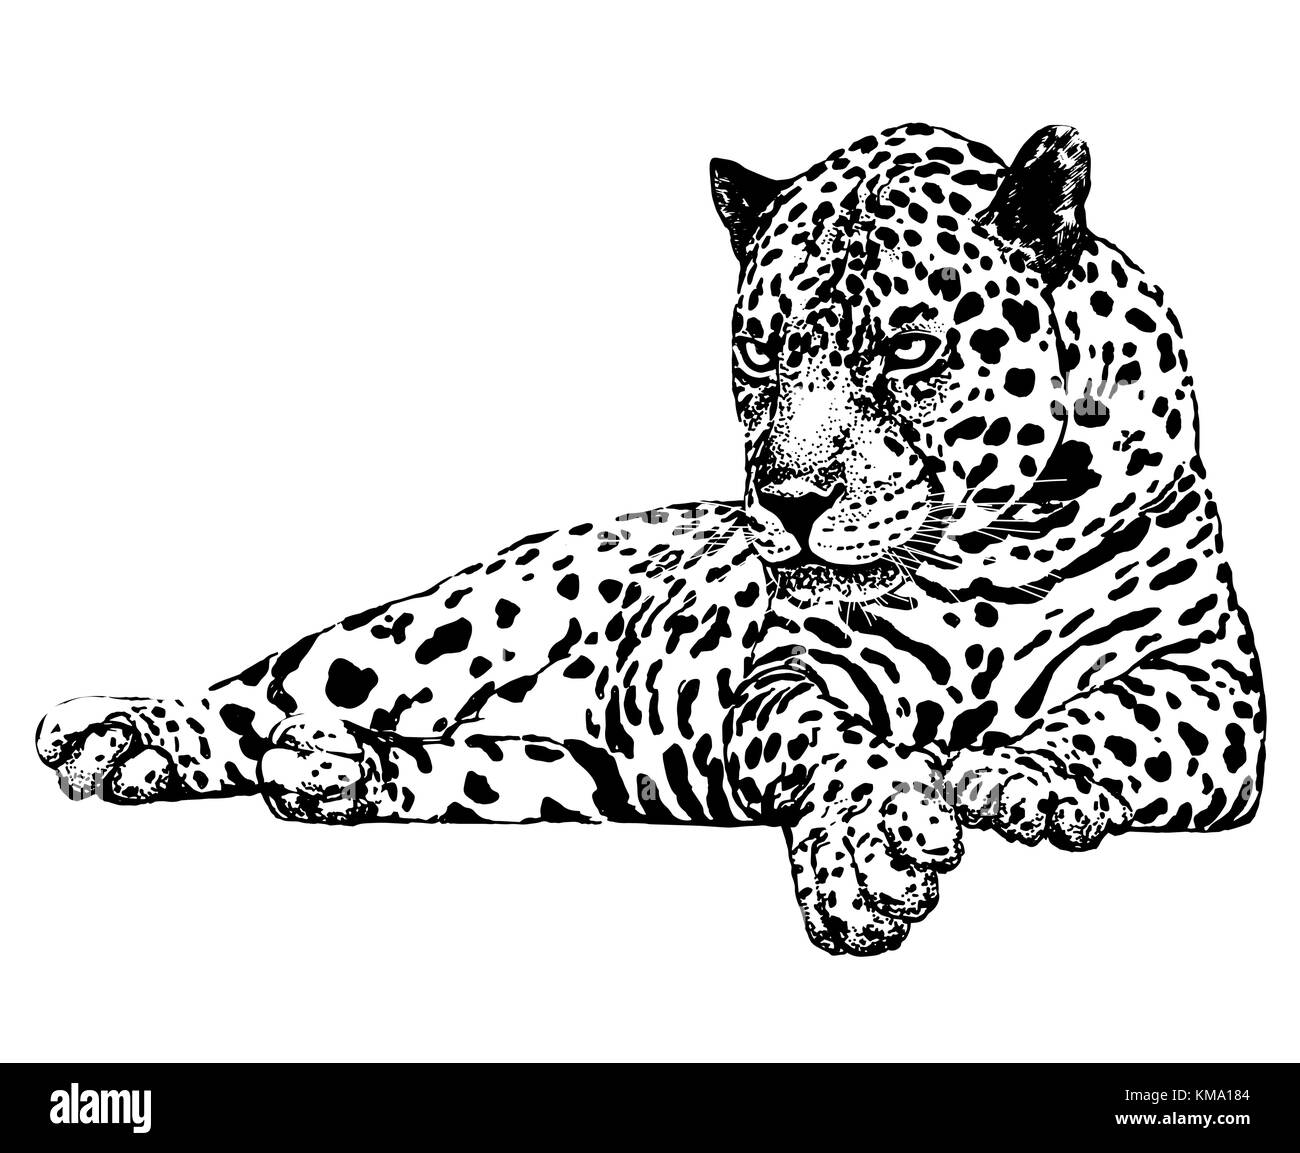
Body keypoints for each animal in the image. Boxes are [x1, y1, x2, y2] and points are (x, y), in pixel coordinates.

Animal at [36, 123, 1266, 956]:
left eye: (908, 349)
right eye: (760, 350)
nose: (787, 500)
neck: (982, 559)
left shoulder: (1213, 685)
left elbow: (1119, 718)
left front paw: (1018, 778)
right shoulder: (786, 676)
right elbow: (836, 745)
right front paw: (868, 849)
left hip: (577, 777)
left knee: (448, 763)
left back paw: (338, 770)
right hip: (437, 627)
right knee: (265, 693)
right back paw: (120, 734)